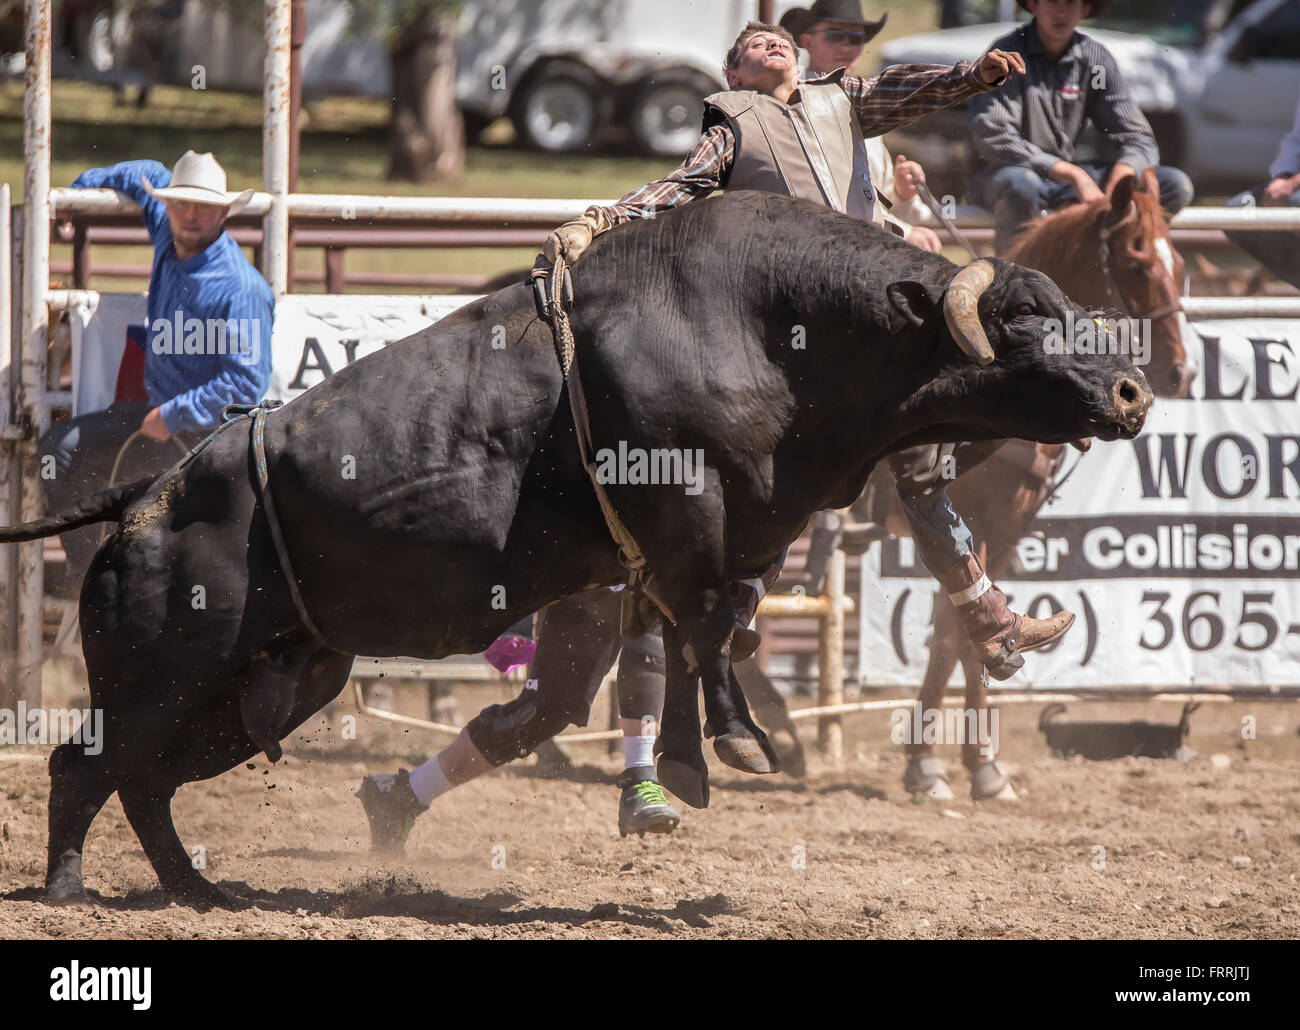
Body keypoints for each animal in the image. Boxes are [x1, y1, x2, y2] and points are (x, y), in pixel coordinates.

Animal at [0, 191, 1153, 905]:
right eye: (1021, 321)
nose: (1132, 389)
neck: (771, 323)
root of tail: (146, 497)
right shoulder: (684, 512)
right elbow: (704, 627)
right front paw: (730, 745)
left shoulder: (706, 543)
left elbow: (696, 633)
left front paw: (688, 761)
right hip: (161, 673)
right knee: (84, 763)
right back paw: (70, 887)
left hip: (270, 685)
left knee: (145, 785)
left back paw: (197, 887)